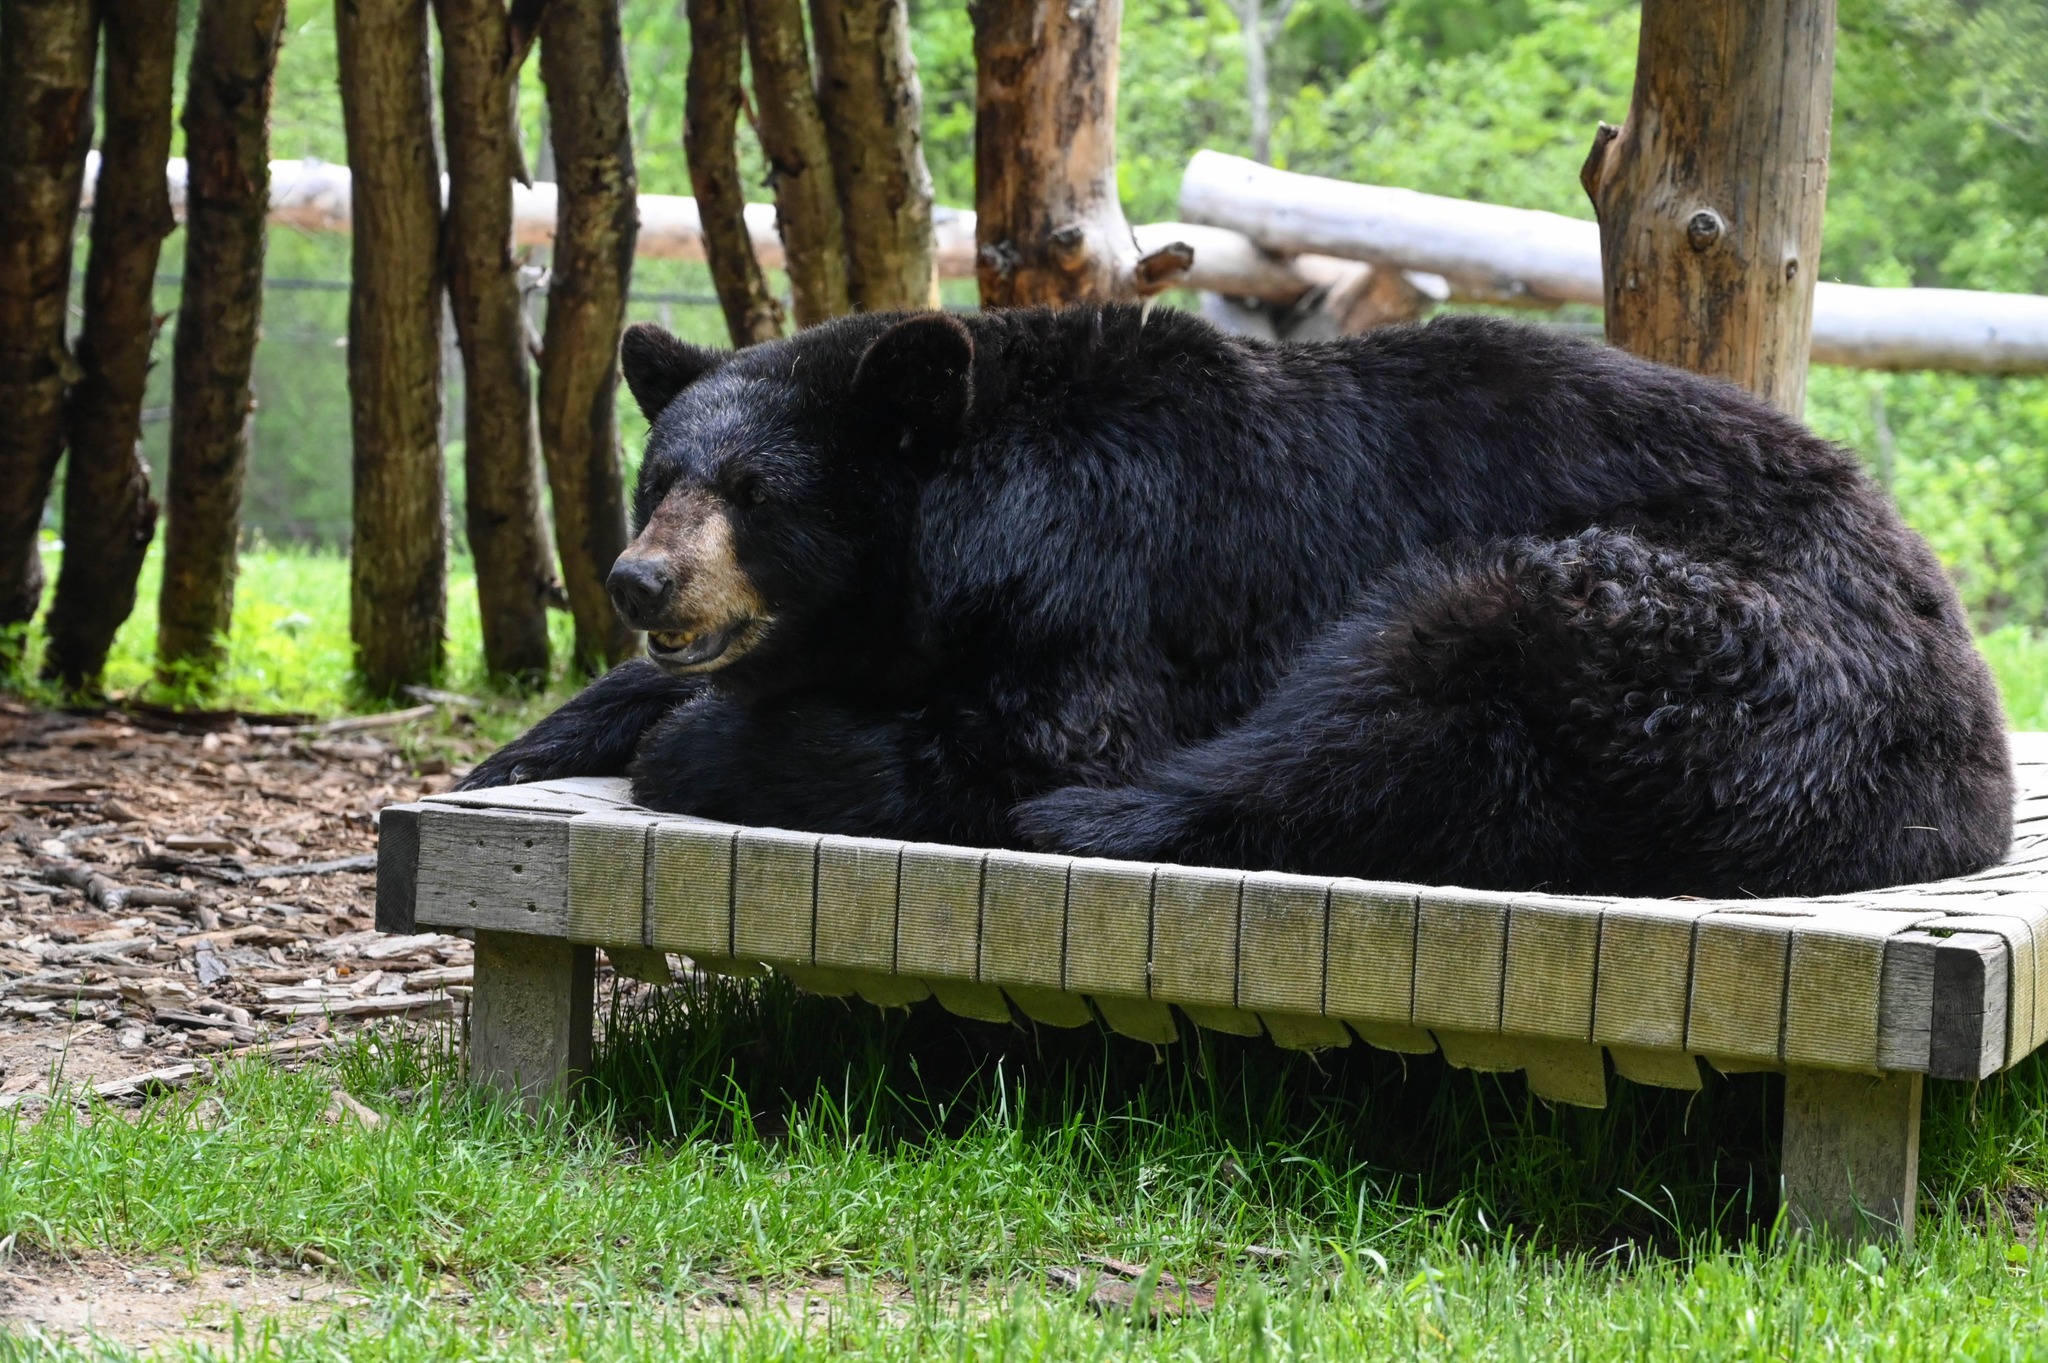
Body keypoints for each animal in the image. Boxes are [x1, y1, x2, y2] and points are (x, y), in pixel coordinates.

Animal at [460, 303, 2013, 898]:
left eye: (755, 491)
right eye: (661, 473)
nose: (640, 576)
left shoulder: (1108, 572)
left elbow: (1011, 736)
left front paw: (694, 744)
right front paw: (527, 742)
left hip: (1696, 643)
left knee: (1394, 702)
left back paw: (1104, 816)